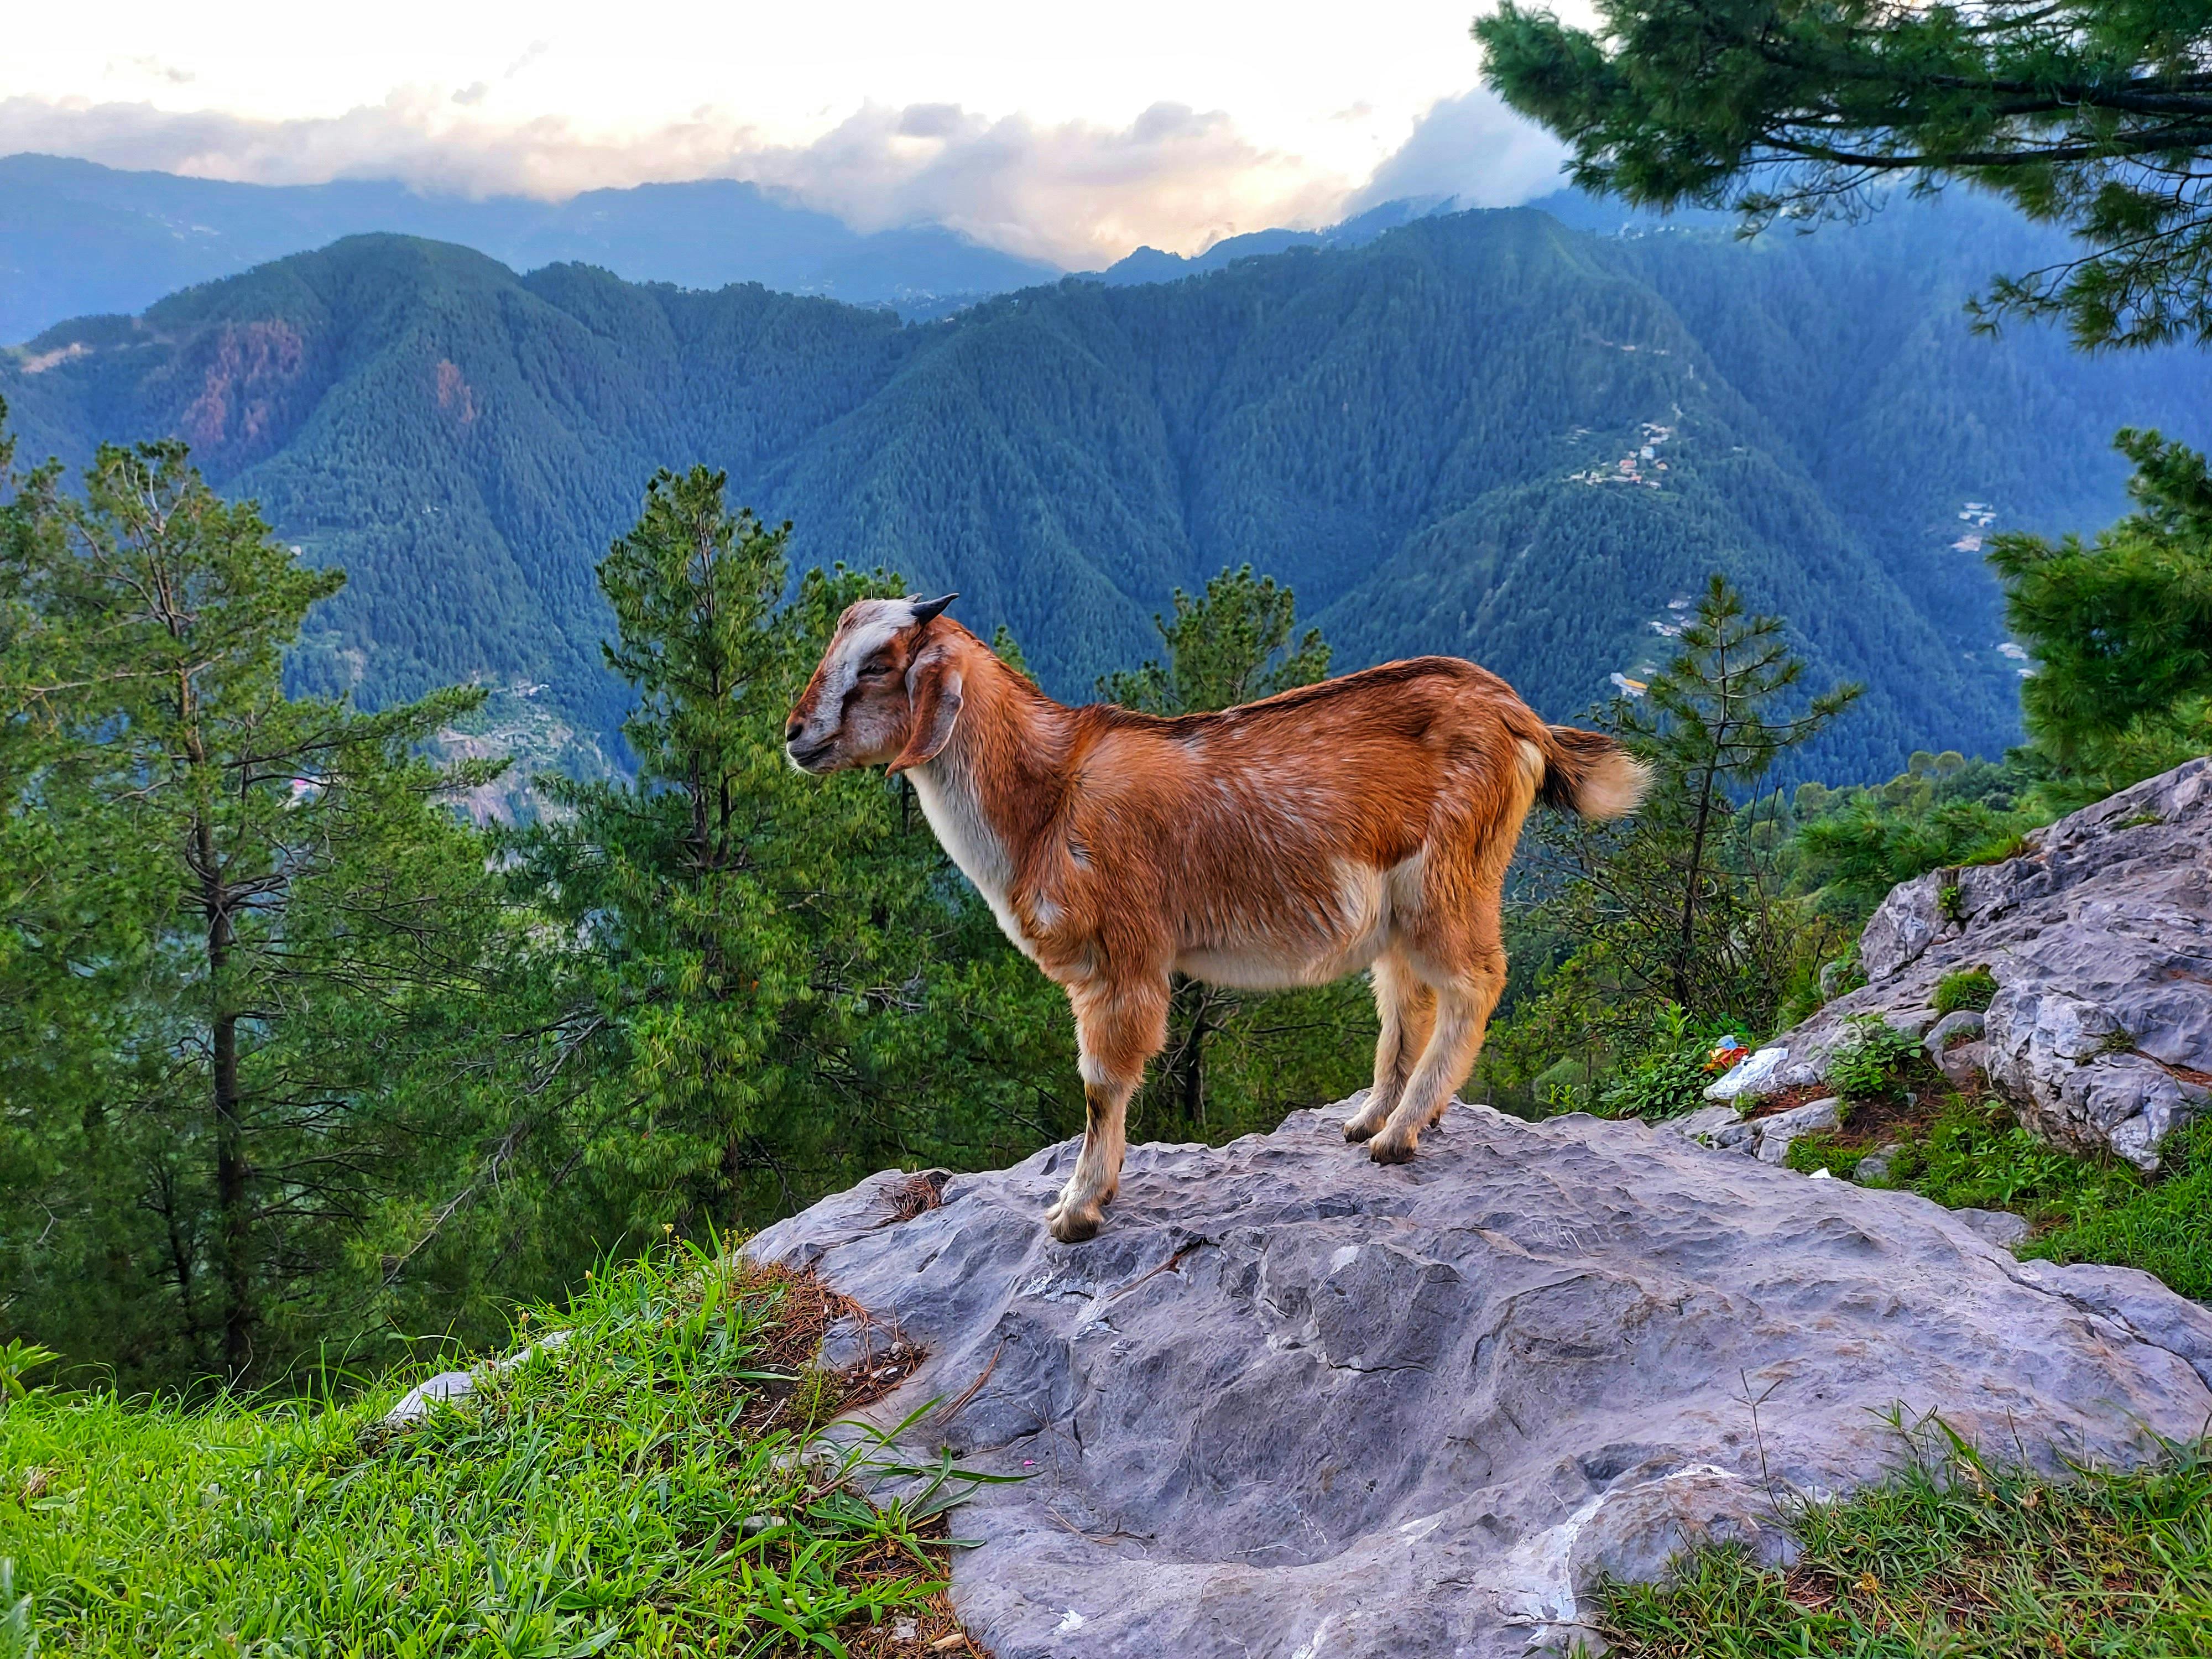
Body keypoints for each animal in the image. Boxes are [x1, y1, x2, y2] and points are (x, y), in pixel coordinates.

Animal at [785, 595, 1648, 1242]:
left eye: (877, 665)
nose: (795, 735)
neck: (1047, 795)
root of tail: (1522, 720)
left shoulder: (1122, 957)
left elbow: (1101, 1084)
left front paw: (1076, 1210)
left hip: (1450, 882)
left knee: (1474, 983)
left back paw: (1402, 1133)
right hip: (1400, 913)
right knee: (1408, 999)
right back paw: (1370, 1118)